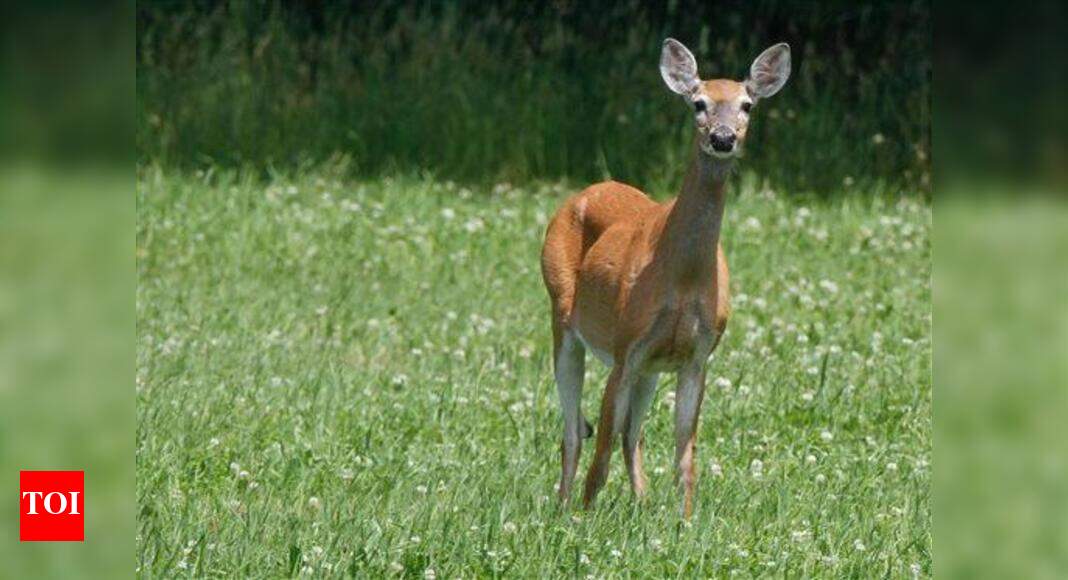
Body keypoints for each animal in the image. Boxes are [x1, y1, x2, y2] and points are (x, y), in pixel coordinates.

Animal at [540, 38, 791, 517]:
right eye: (699, 103)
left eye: (747, 105)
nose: (723, 138)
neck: (684, 279)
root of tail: (584, 192)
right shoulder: (626, 347)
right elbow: (600, 448)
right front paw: (586, 518)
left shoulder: (696, 355)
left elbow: (684, 453)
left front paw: (685, 520)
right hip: (562, 316)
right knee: (574, 430)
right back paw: (564, 505)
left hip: (652, 367)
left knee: (631, 434)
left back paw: (640, 502)